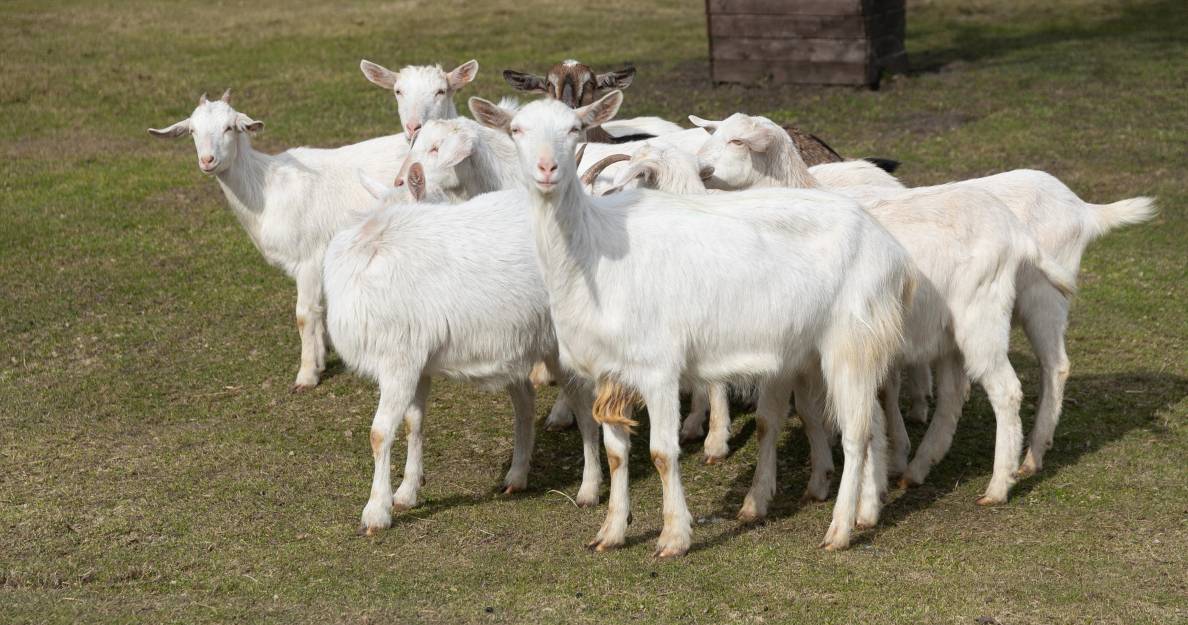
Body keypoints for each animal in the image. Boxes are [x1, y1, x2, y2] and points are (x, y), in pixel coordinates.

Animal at [470, 92, 916, 553]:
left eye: (574, 129)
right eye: (516, 129)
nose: (547, 170)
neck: (594, 252)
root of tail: (892, 252)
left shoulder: (658, 369)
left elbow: (662, 453)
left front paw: (674, 536)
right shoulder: (610, 370)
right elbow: (616, 452)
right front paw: (611, 532)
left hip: (851, 343)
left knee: (855, 433)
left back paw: (840, 530)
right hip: (828, 349)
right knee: (870, 423)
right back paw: (867, 512)